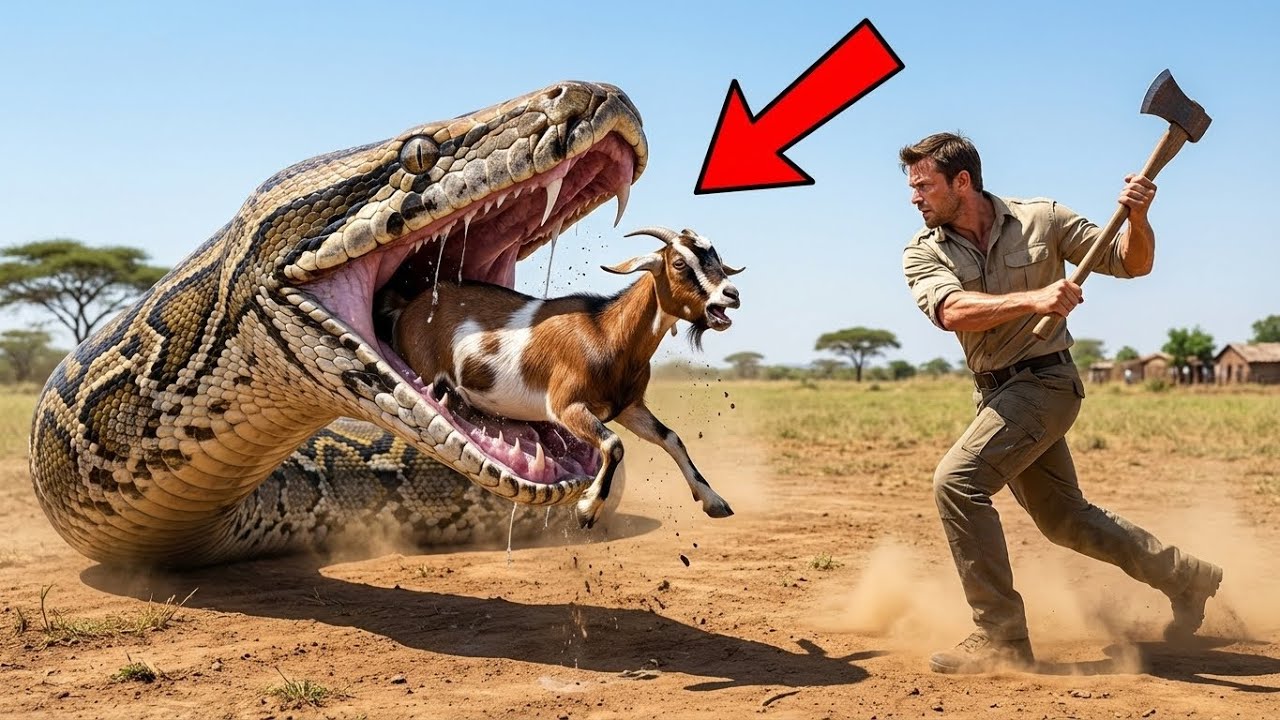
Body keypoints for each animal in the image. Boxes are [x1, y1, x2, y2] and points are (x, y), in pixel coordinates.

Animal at [387, 226, 743, 528]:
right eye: (680, 263)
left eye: (717, 259)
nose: (732, 295)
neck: (606, 332)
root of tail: (409, 307)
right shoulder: (565, 406)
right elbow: (614, 444)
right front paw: (587, 509)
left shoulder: (629, 408)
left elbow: (671, 438)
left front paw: (714, 501)